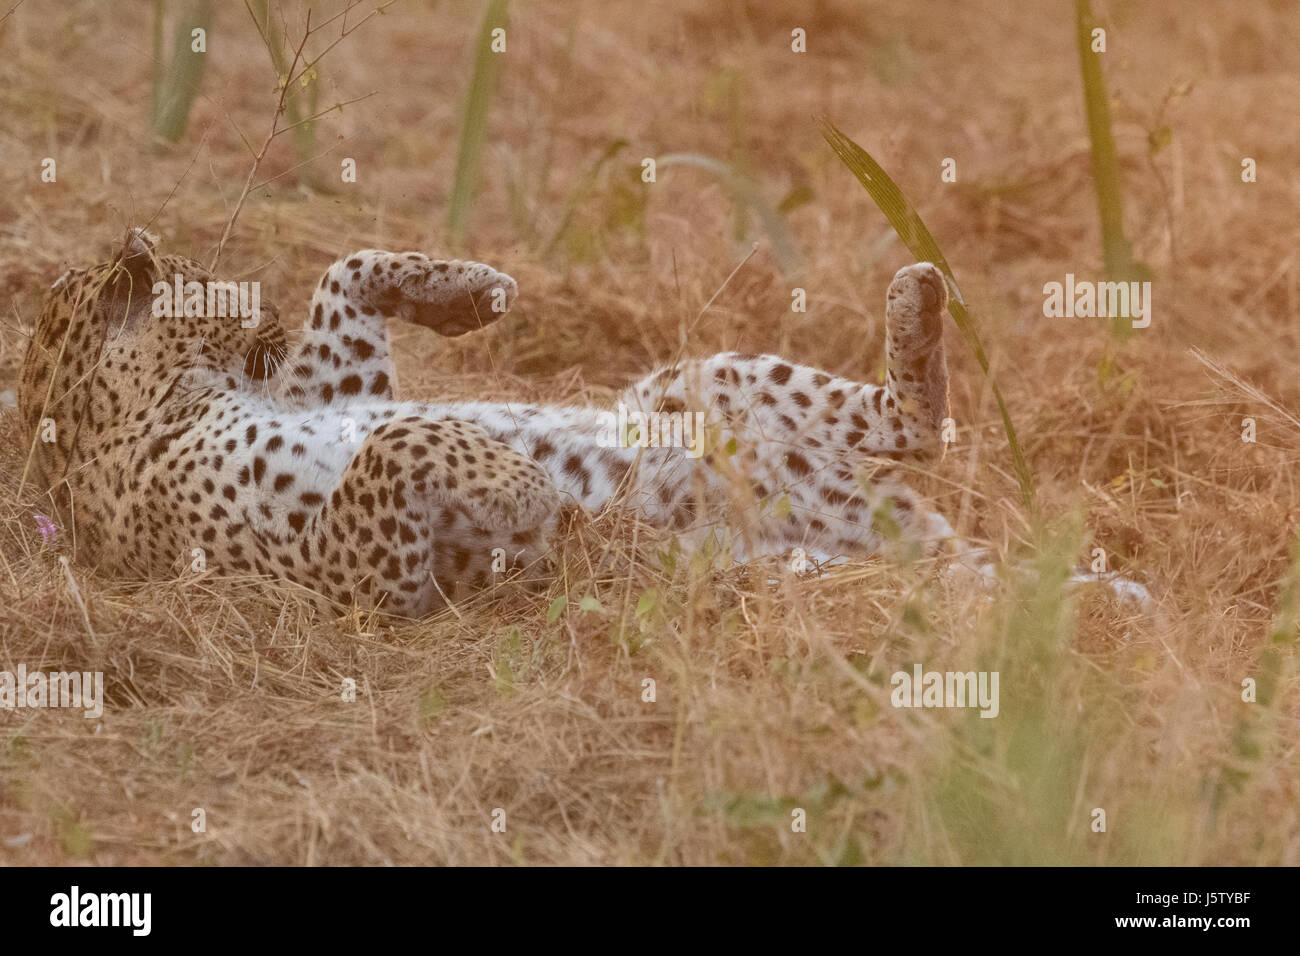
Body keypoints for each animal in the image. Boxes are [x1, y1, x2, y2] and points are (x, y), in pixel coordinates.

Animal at [19, 227, 1139, 618]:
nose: (266, 320)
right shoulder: (351, 570)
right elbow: (399, 442)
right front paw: (522, 482)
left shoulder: (329, 388)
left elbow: (349, 279)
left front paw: (466, 291)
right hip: (746, 561)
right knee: (928, 512)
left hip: (711, 380)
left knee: (911, 422)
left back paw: (918, 302)